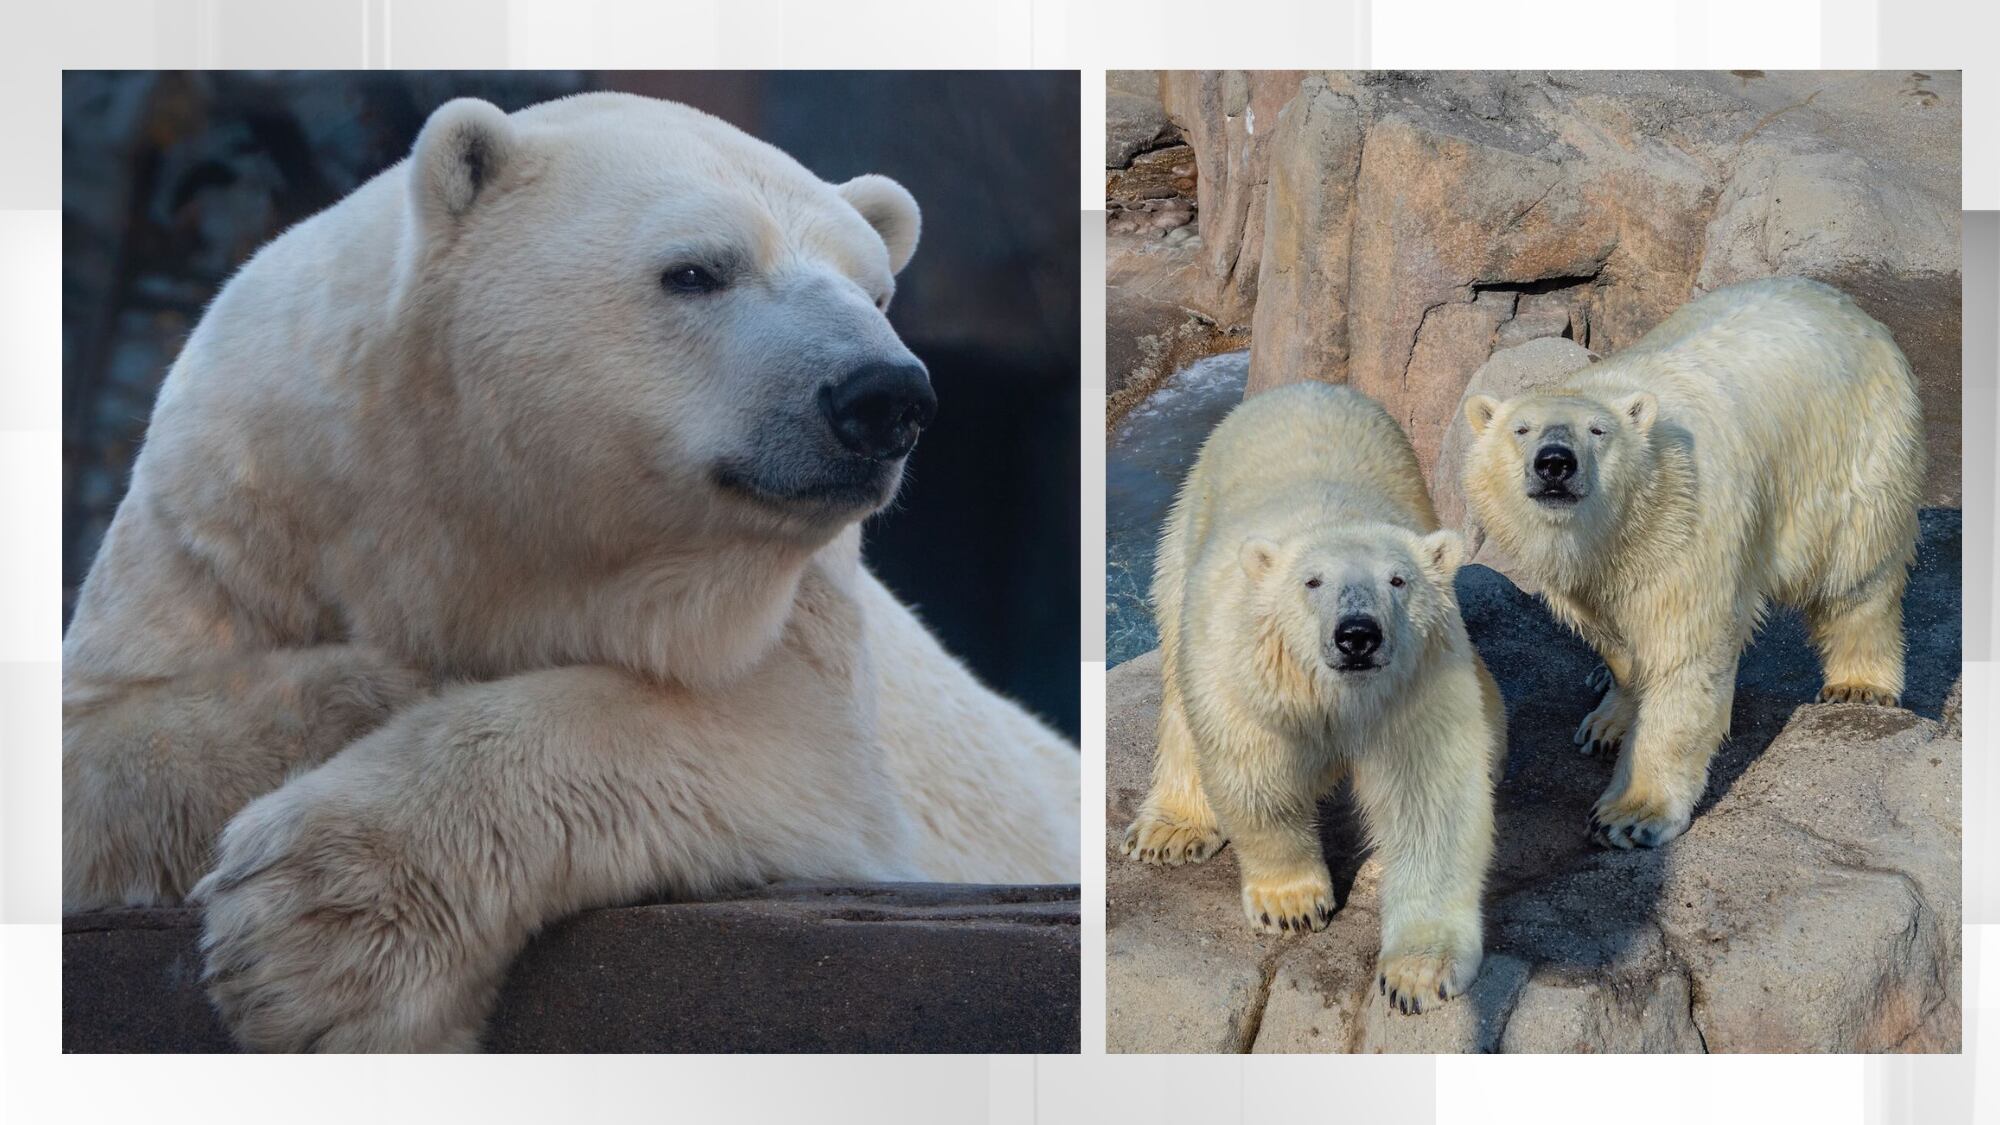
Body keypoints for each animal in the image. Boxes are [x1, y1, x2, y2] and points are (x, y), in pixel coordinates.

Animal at [60, 93, 1079, 1051]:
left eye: (877, 294)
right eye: (695, 270)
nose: (883, 396)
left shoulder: (802, 618)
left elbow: (780, 737)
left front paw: (321, 938)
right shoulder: (233, 502)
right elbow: (108, 739)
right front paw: (386, 686)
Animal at [1121, 382, 1504, 1014]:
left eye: (1398, 580)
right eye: (1312, 581)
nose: (1358, 635)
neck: (1340, 693)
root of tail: (1305, 386)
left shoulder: (1419, 683)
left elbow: (1430, 799)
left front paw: (1418, 974)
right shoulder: (1254, 672)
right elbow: (1258, 774)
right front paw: (1294, 905)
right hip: (1187, 525)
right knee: (1178, 681)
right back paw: (1172, 830)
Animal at [1461, 276, 1924, 850]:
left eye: (1597, 432)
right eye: (1520, 429)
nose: (1554, 463)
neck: (1616, 527)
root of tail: (1841, 303)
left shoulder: (1687, 527)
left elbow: (1683, 656)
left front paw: (1631, 814)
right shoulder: (1596, 572)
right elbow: (1618, 641)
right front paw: (1608, 722)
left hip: (1854, 451)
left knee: (1856, 571)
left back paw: (1860, 683)